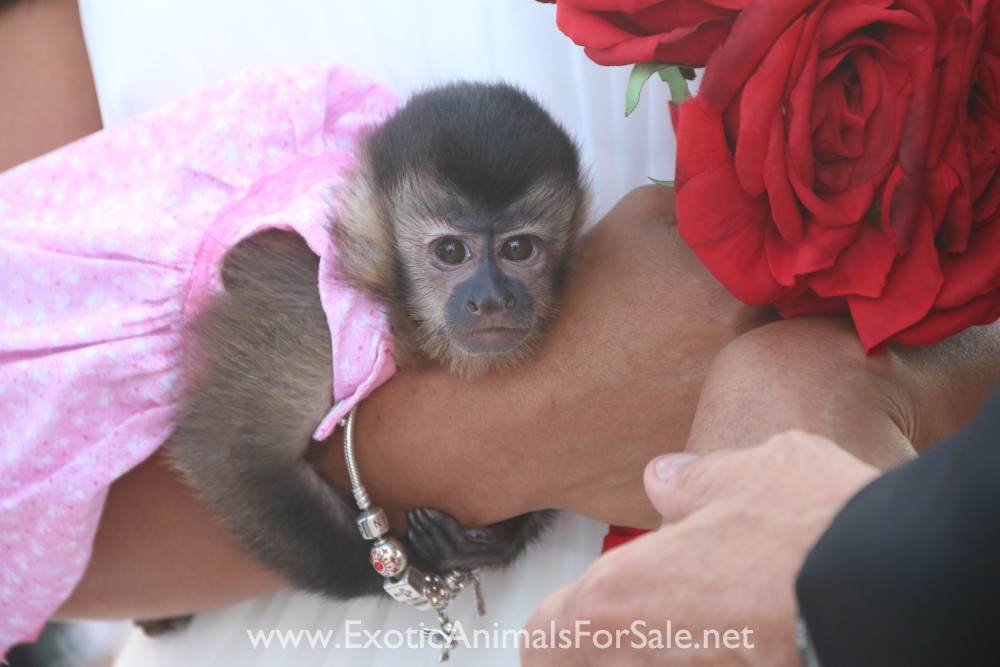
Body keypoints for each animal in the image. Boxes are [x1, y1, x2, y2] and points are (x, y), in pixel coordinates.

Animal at [140, 82, 586, 634]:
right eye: (451, 252)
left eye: (519, 249)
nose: (491, 299)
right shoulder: (305, 306)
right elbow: (230, 457)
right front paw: (421, 564)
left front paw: (484, 544)